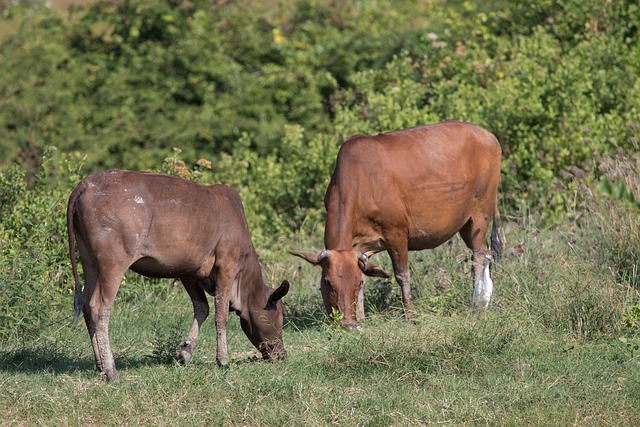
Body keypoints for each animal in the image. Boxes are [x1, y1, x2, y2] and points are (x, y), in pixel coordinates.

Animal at [67, 170, 289, 381]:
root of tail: (86, 183)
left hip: (89, 260)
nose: (282, 354)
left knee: (87, 305)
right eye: (282, 313)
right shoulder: (227, 264)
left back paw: (99, 366)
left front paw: (185, 352)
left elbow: (202, 308)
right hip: (113, 260)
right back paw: (111, 370)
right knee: (99, 308)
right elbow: (221, 314)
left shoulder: (188, 270)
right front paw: (223, 359)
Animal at [292, 121, 502, 329]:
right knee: (485, 252)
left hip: (480, 213)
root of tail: (487, 135)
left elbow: (402, 274)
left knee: (479, 256)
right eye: (327, 282)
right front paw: (361, 318)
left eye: (357, 283)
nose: (347, 324)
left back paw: (476, 305)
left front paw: (410, 314)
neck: (362, 180)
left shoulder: (396, 232)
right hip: (466, 222)